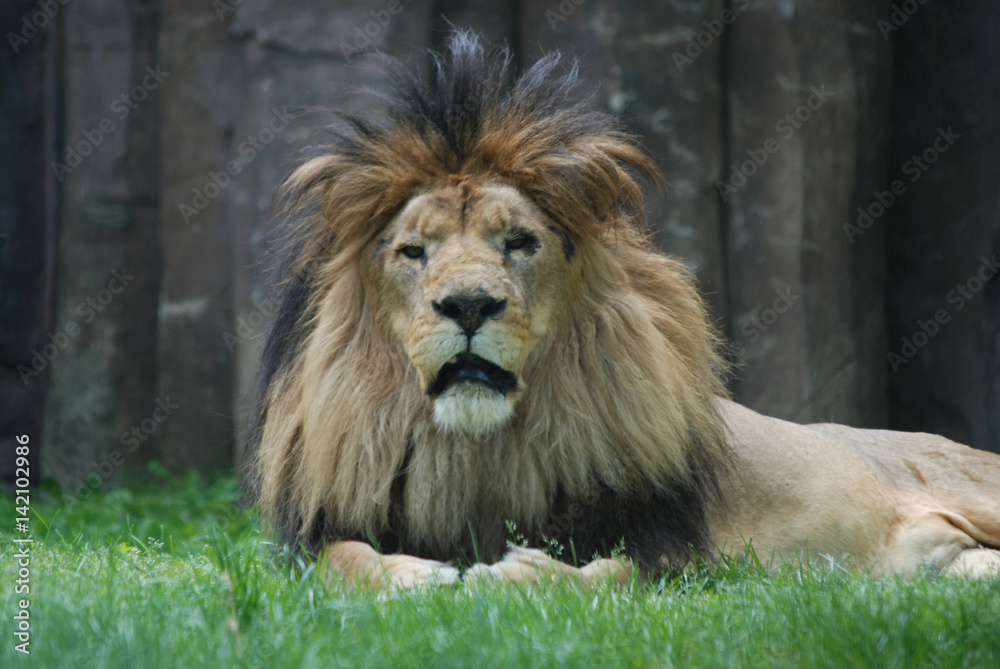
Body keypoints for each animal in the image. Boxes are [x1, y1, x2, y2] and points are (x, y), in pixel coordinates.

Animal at [247, 31, 1000, 589]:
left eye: (519, 242)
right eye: (413, 251)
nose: (469, 303)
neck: (479, 455)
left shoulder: (682, 556)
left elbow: (602, 576)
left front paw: (515, 576)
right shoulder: (310, 540)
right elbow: (341, 561)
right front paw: (417, 576)